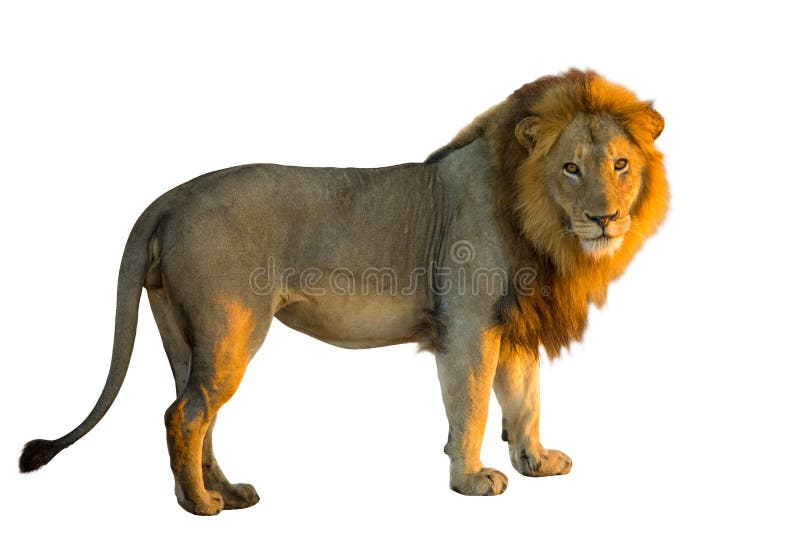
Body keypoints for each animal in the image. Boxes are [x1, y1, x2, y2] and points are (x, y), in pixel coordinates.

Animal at [19, 69, 668, 515]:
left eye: (619, 164)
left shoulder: (514, 322)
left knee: (195, 412)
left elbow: (525, 398)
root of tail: (171, 196)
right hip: (233, 327)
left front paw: (536, 462)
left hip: (184, 332)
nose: (606, 219)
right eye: (570, 168)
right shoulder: (467, 324)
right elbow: (474, 404)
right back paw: (200, 506)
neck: (541, 225)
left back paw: (224, 492)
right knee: (185, 414)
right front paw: (470, 480)